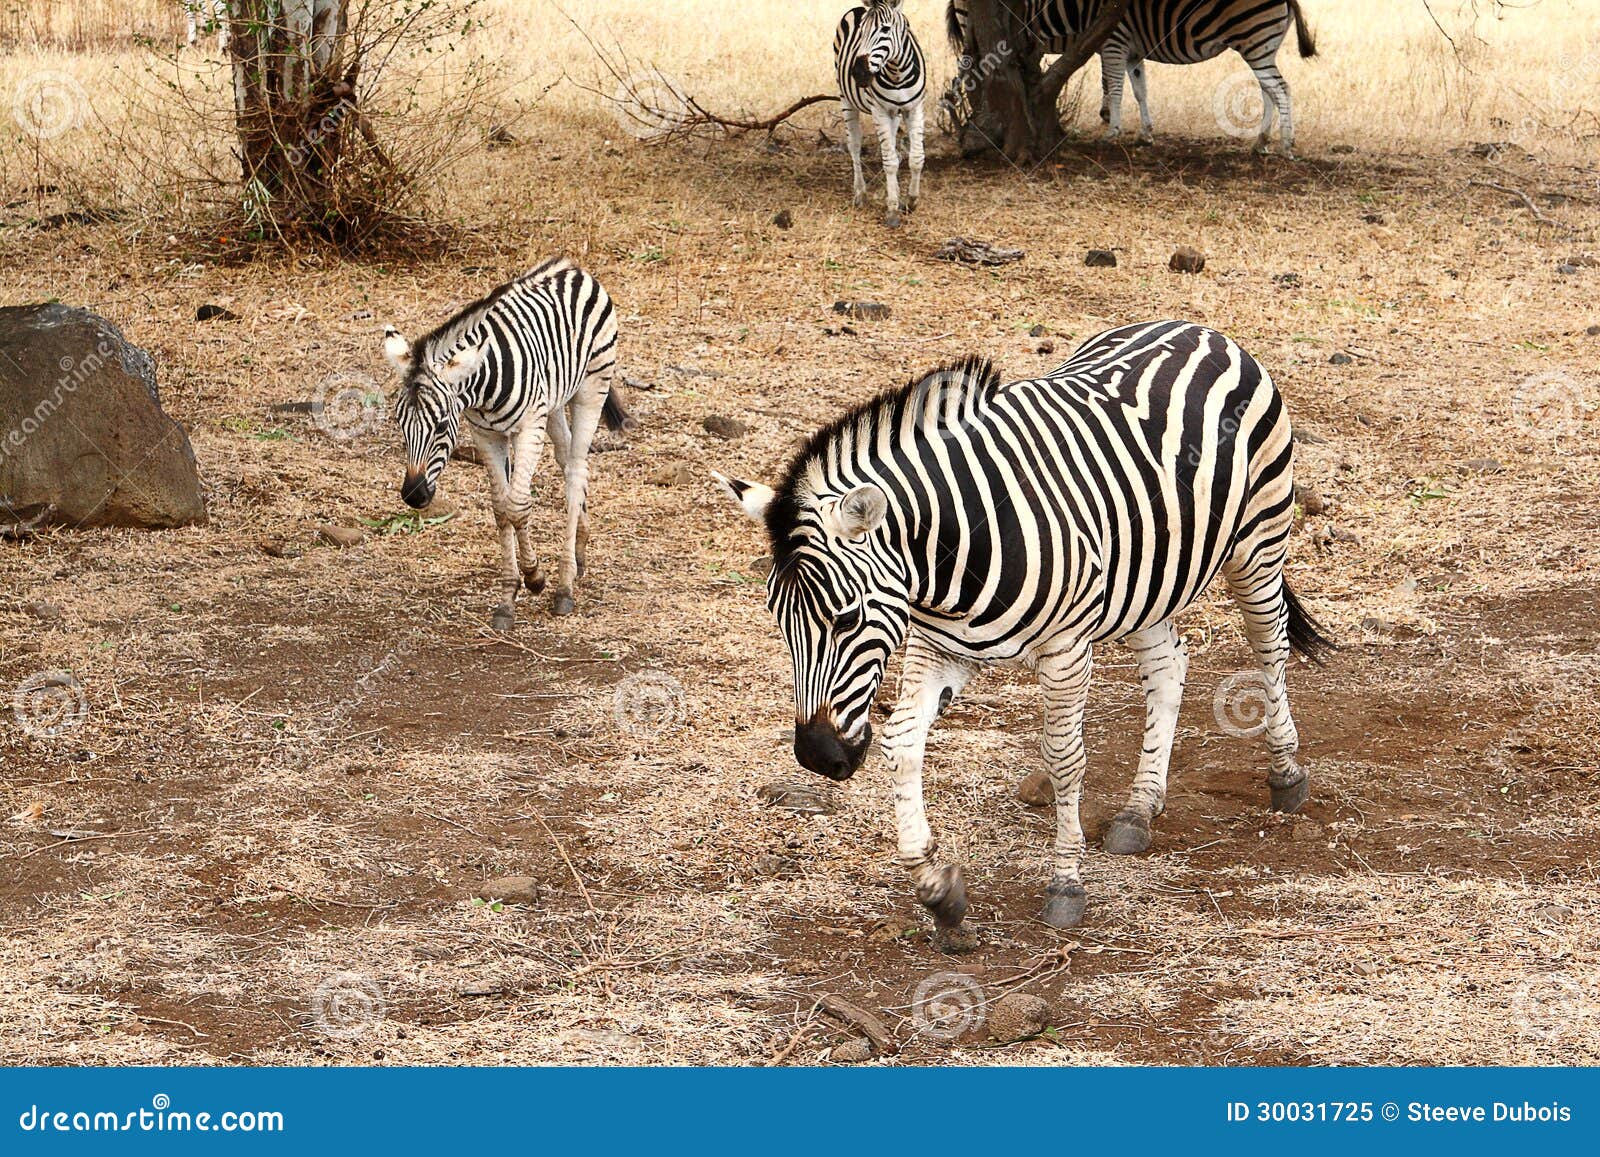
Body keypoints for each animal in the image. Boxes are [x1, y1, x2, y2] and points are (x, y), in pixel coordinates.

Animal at [382, 258, 630, 630]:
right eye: (401, 424)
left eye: (440, 425)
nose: (413, 496)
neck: (483, 386)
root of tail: (570, 265)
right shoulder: (485, 434)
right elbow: (501, 509)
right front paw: (508, 597)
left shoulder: (529, 427)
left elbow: (517, 505)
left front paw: (535, 577)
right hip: (553, 402)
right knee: (566, 460)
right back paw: (579, 550)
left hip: (591, 386)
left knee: (575, 470)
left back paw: (565, 584)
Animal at [716, 320, 1332, 946]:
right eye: (778, 622)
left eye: (844, 618)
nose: (817, 757)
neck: (949, 557)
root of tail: (1195, 328)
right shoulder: (939, 647)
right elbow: (902, 741)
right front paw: (937, 890)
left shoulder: (1066, 652)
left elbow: (1064, 757)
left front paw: (1065, 885)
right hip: (1148, 578)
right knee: (1168, 668)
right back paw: (1139, 809)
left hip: (1258, 545)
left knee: (1270, 647)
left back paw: (1285, 775)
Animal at [835, 0, 928, 228]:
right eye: (861, 31)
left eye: (885, 29)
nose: (858, 73)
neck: (897, 71)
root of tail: (858, 8)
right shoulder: (880, 111)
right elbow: (889, 162)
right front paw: (892, 210)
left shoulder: (915, 108)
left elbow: (916, 157)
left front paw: (911, 200)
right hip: (845, 99)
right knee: (854, 146)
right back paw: (860, 193)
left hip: (896, 113)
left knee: (893, 147)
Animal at [946, 0, 1317, 154]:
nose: (967, 38)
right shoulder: (1132, 52)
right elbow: (1139, 90)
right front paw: (1146, 134)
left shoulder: (1113, 43)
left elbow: (1115, 87)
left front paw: (1112, 130)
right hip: (1260, 48)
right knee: (1268, 91)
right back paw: (1261, 141)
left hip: (1255, 43)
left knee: (1281, 89)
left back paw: (1285, 144)